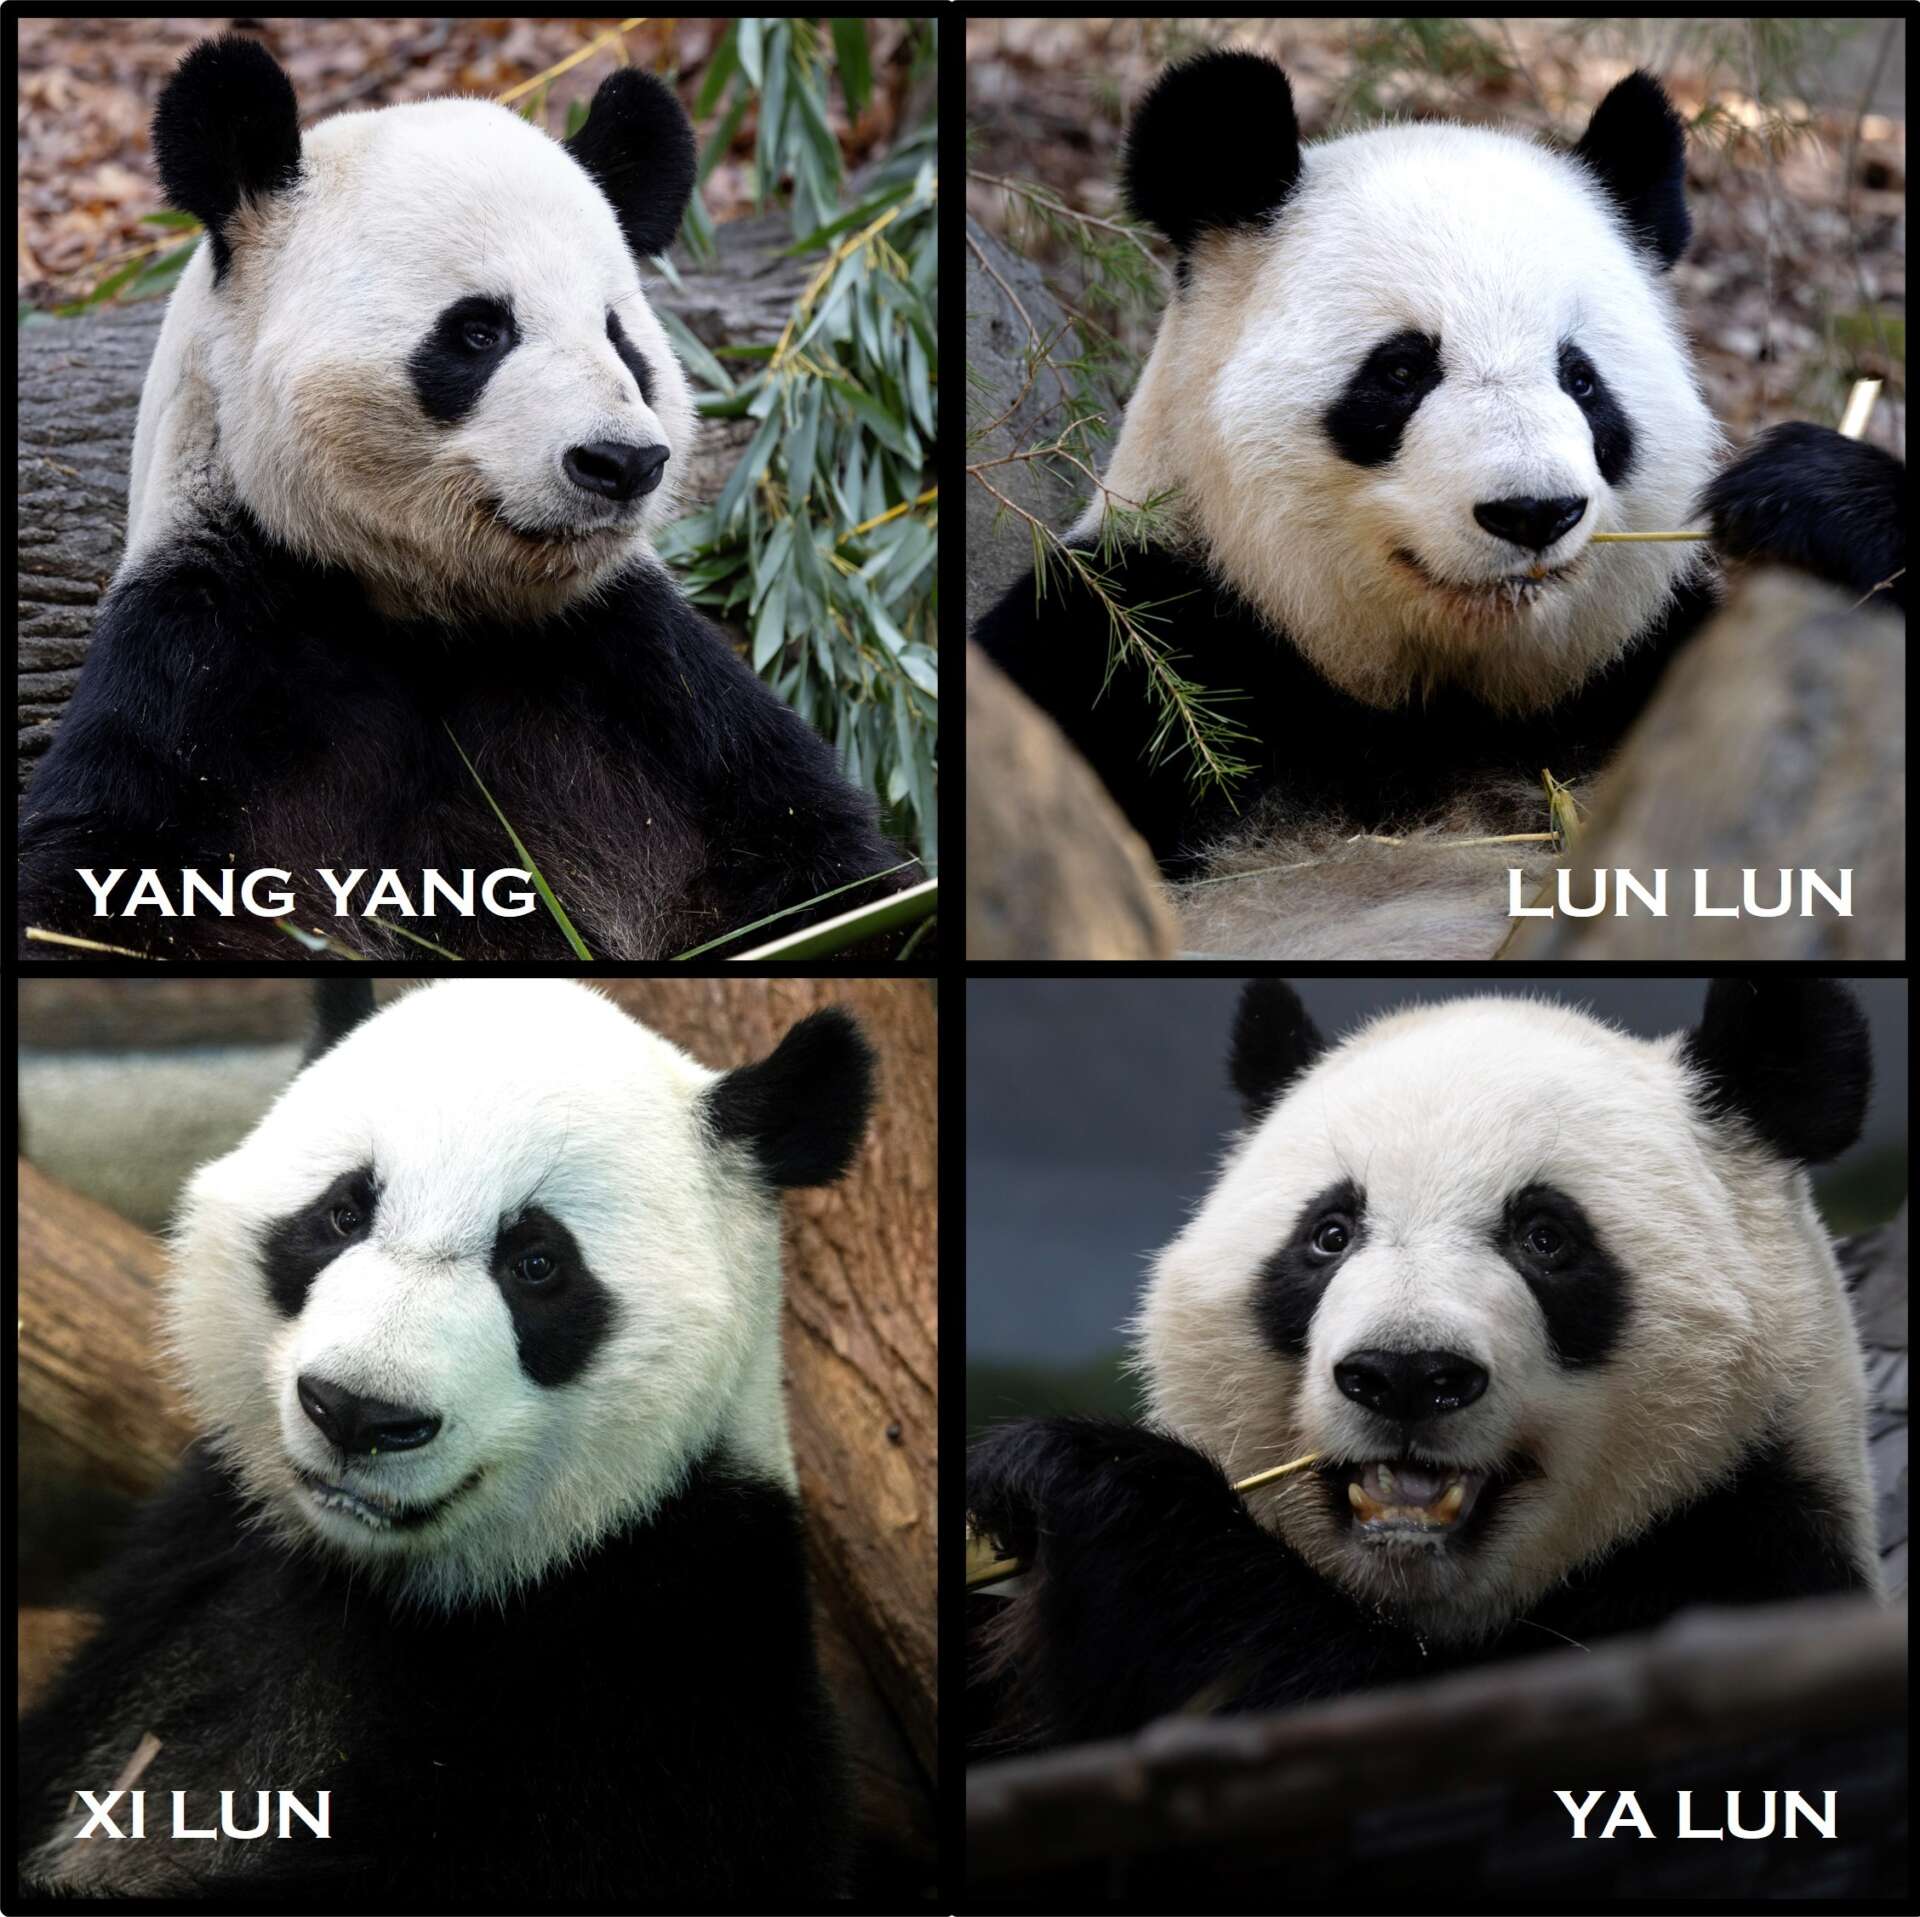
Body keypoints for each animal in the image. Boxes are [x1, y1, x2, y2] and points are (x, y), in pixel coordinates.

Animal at [17, 37, 903, 961]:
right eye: (480, 330)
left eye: (620, 338)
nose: (621, 463)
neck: (428, 616)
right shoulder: (205, 664)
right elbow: (101, 888)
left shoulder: (652, 692)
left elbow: (824, 863)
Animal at [973, 52, 1906, 957]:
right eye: (1401, 370)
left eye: (1581, 379)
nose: (1533, 511)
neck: (1433, 703)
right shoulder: (1133, 654)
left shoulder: (1639, 672)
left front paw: (1810, 492)